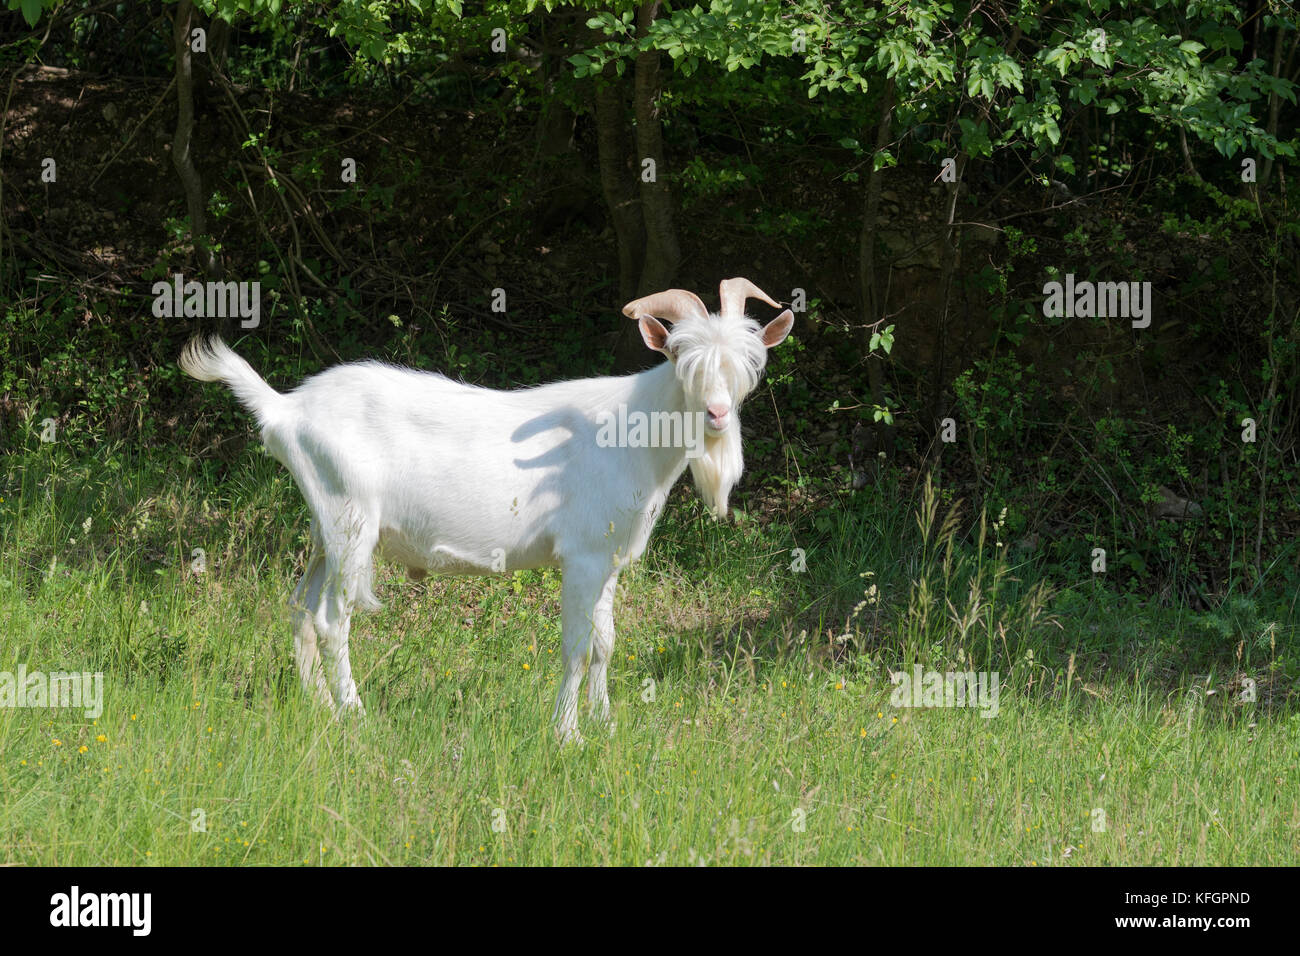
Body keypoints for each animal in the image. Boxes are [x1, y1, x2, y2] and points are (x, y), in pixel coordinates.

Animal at [179, 278, 794, 741]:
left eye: (746, 364)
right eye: (682, 358)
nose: (717, 415)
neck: (631, 431)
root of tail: (285, 410)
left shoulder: (610, 558)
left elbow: (605, 644)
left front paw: (606, 725)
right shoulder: (583, 558)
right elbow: (576, 648)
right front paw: (568, 735)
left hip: (322, 529)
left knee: (301, 609)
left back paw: (321, 709)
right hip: (350, 520)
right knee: (333, 619)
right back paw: (355, 715)